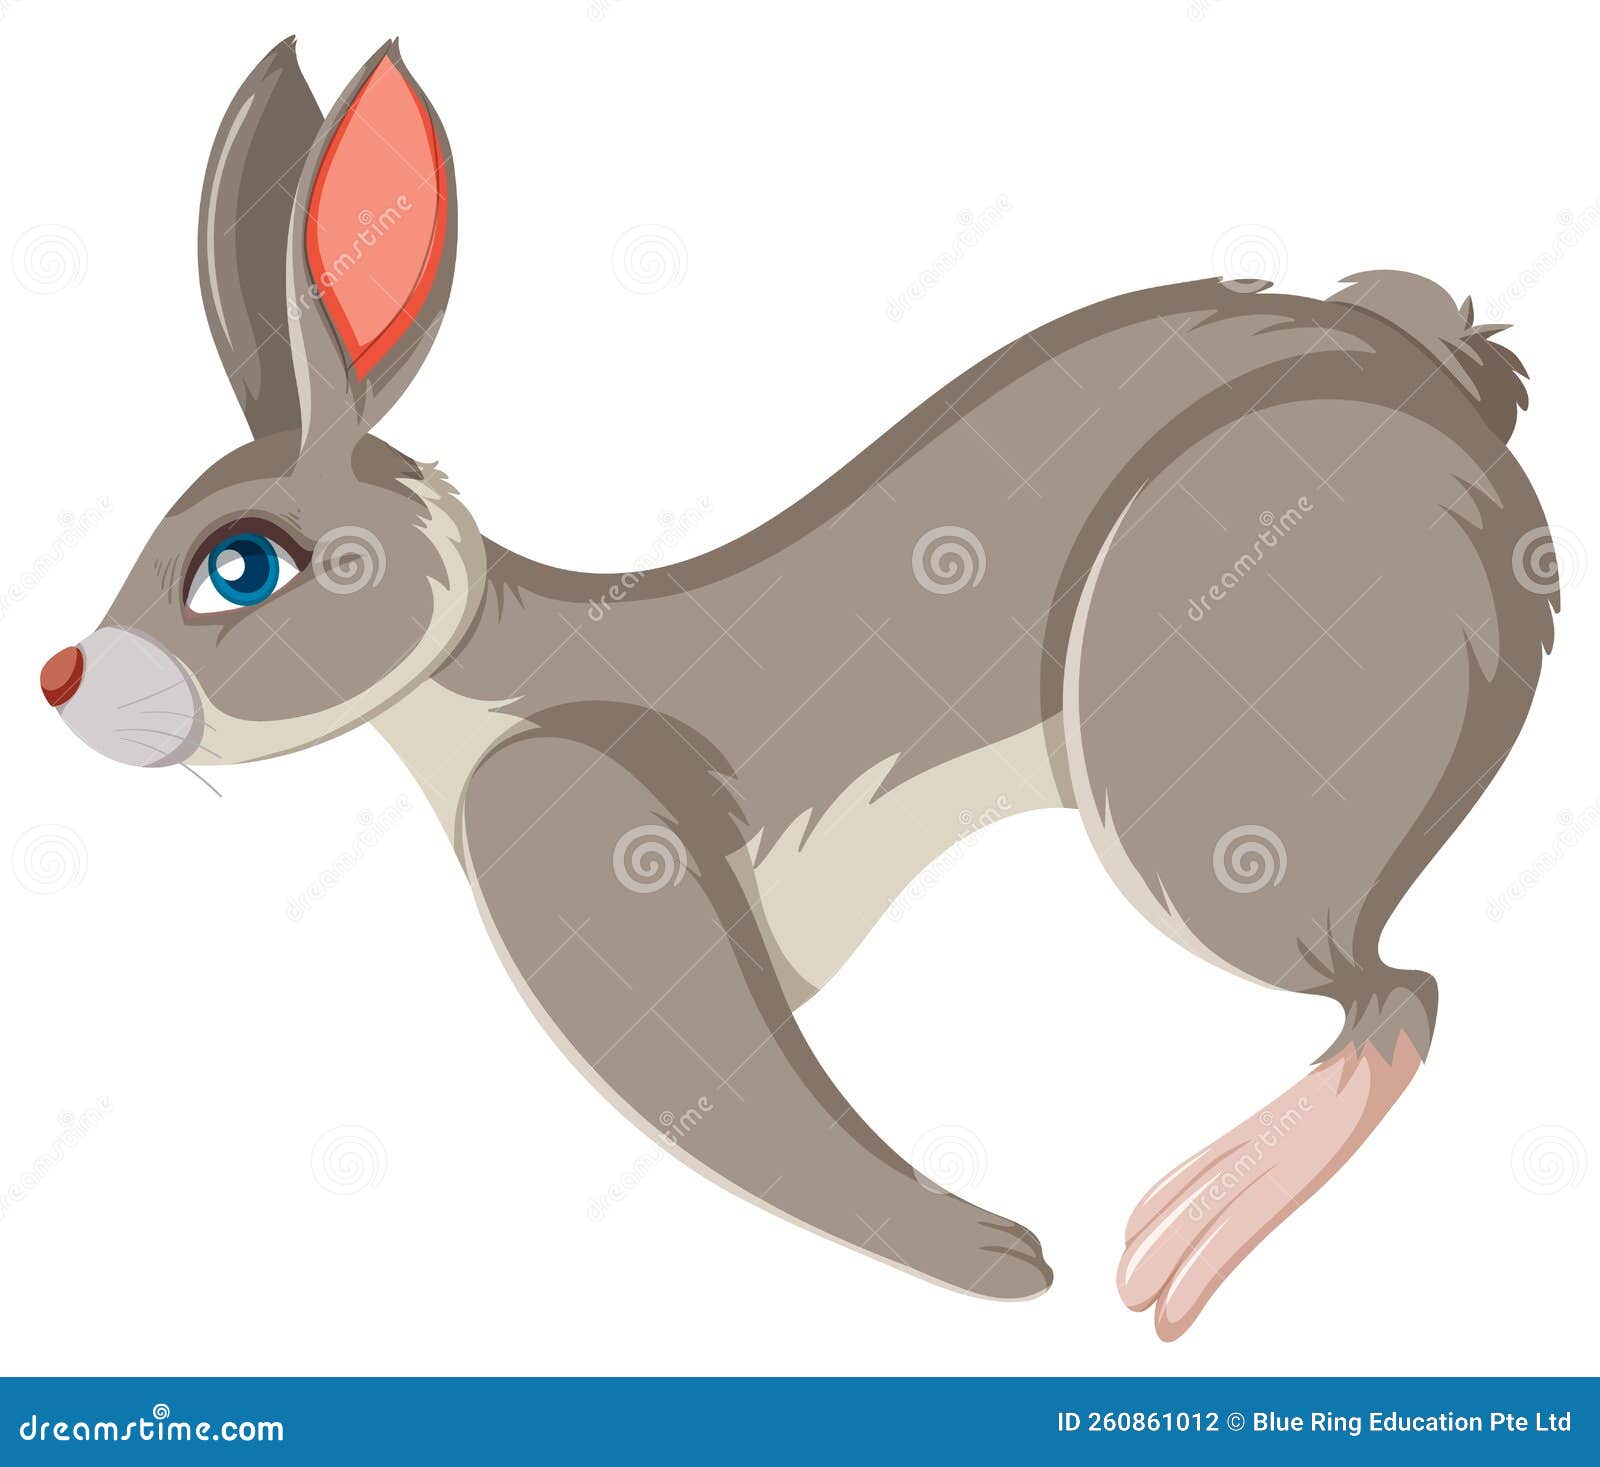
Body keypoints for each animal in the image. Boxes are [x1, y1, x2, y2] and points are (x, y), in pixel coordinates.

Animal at [43, 38, 1559, 1340]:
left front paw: (1001, 1261)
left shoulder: (575, 829)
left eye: (240, 566)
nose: (61, 677)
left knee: (1390, 993)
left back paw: (1183, 1233)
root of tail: (1446, 379)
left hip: (1200, 770)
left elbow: (738, 1094)